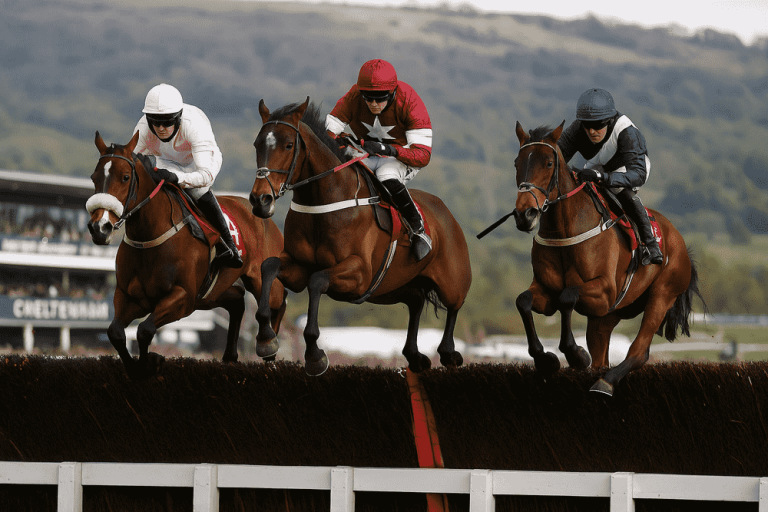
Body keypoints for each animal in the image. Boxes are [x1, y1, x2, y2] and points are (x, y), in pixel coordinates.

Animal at [87, 131, 287, 379]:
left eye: (125, 177)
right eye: (94, 177)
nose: (99, 227)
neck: (150, 238)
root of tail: (264, 216)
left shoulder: (182, 298)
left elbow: (144, 330)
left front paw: (150, 363)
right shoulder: (130, 297)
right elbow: (115, 332)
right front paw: (136, 368)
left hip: (257, 279)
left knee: (277, 302)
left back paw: (269, 346)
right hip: (210, 295)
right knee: (238, 300)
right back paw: (230, 356)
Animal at [248, 98, 471, 376]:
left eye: (289, 144)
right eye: (257, 143)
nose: (260, 200)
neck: (324, 203)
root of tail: (445, 211)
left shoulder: (360, 274)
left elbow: (317, 281)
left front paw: (314, 355)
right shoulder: (299, 266)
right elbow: (269, 266)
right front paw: (266, 338)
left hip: (452, 280)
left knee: (454, 306)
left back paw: (448, 352)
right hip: (393, 287)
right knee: (416, 301)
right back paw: (414, 355)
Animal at [509, 121, 703, 396]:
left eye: (548, 163)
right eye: (517, 162)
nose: (525, 214)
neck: (565, 232)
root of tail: (680, 243)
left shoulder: (604, 293)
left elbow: (568, 296)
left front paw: (575, 354)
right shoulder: (547, 291)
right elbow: (523, 300)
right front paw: (546, 359)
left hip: (662, 295)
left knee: (639, 351)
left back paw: (605, 382)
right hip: (608, 317)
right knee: (602, 354)